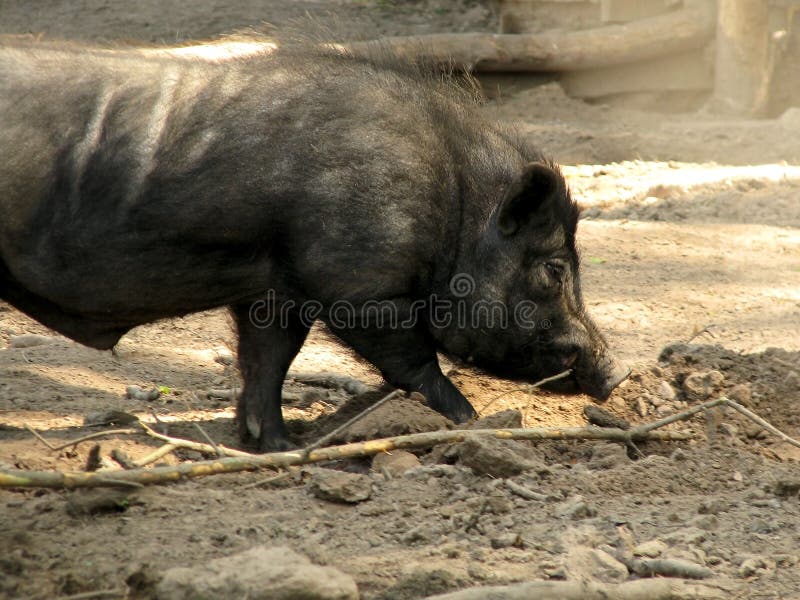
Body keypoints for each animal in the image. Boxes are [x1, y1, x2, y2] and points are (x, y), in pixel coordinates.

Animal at [0, 37, 629, 450]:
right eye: (553, 268)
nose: (619, 371)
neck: (453, 200)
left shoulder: (275, 292)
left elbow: (268, 359)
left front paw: (277, 445)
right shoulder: (359, 285)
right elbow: (412, 360)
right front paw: (470, 420)